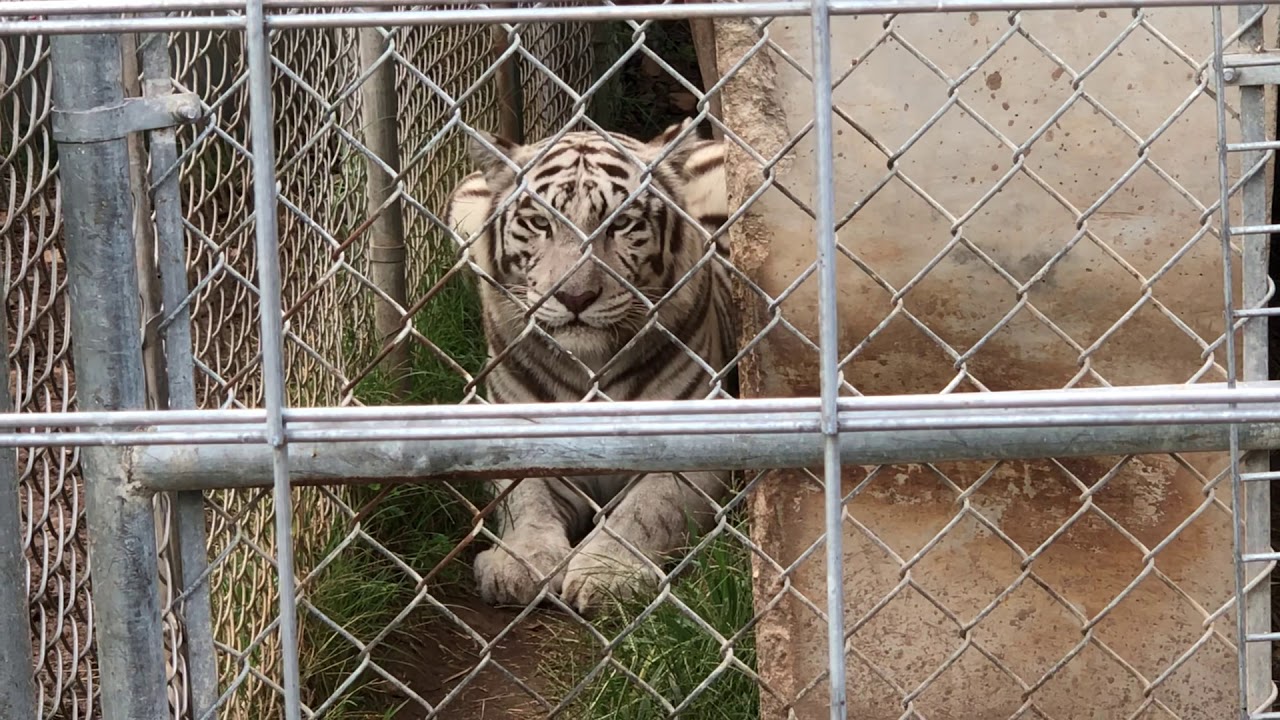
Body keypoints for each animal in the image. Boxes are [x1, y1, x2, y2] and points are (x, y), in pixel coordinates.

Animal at [444, 119, 736, 612]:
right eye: (539, 222)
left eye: (621, 224)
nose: (575, 297)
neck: (589, 366)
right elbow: (526, 501)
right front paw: (521, 562)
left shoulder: (697, 451)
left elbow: (647, 509)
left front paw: (607, 574)